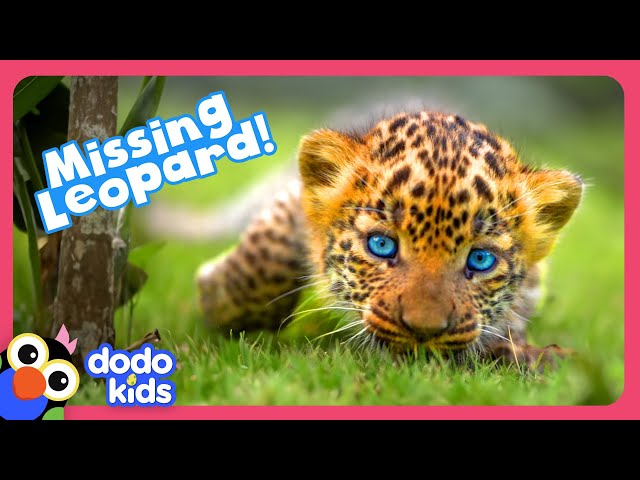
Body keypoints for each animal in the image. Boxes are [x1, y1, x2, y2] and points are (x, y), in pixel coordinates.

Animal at [196, 109, 583, 369]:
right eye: (381, 245)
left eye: (480, 259)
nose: (423, 330)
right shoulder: (294, 201)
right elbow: (268, 253)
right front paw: (215, 297)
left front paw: (529, 356)